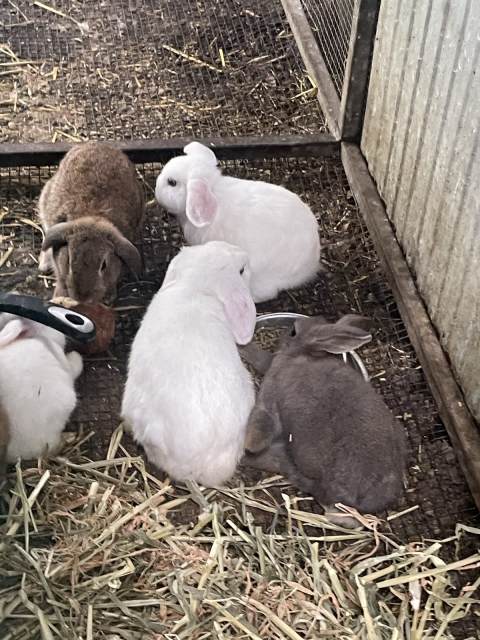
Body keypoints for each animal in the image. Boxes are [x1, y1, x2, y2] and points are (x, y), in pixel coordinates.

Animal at [38, 141, 145, 304]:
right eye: (69, 260)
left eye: (104, 265)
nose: (82, 298)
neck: (93, 217)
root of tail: (98, 144)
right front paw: (58, 295)